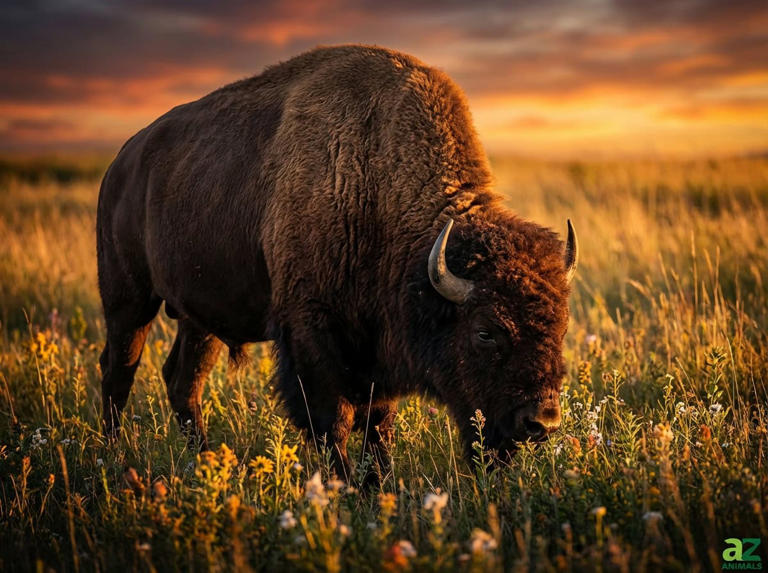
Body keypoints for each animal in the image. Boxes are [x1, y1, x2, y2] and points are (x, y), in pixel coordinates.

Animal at [97, 45, 578, 481]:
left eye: (561, 328)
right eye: (485, 332)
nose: (541, 421)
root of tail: (121, 162)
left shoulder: (374, 352)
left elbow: (378, 425)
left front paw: (379, 483)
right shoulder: (311, 337)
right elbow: (335, 423)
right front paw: (350, 488)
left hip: (201, 319)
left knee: (183, 381)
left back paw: (207, 462)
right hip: (128, 298)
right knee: (119, 368)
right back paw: (115, 455)